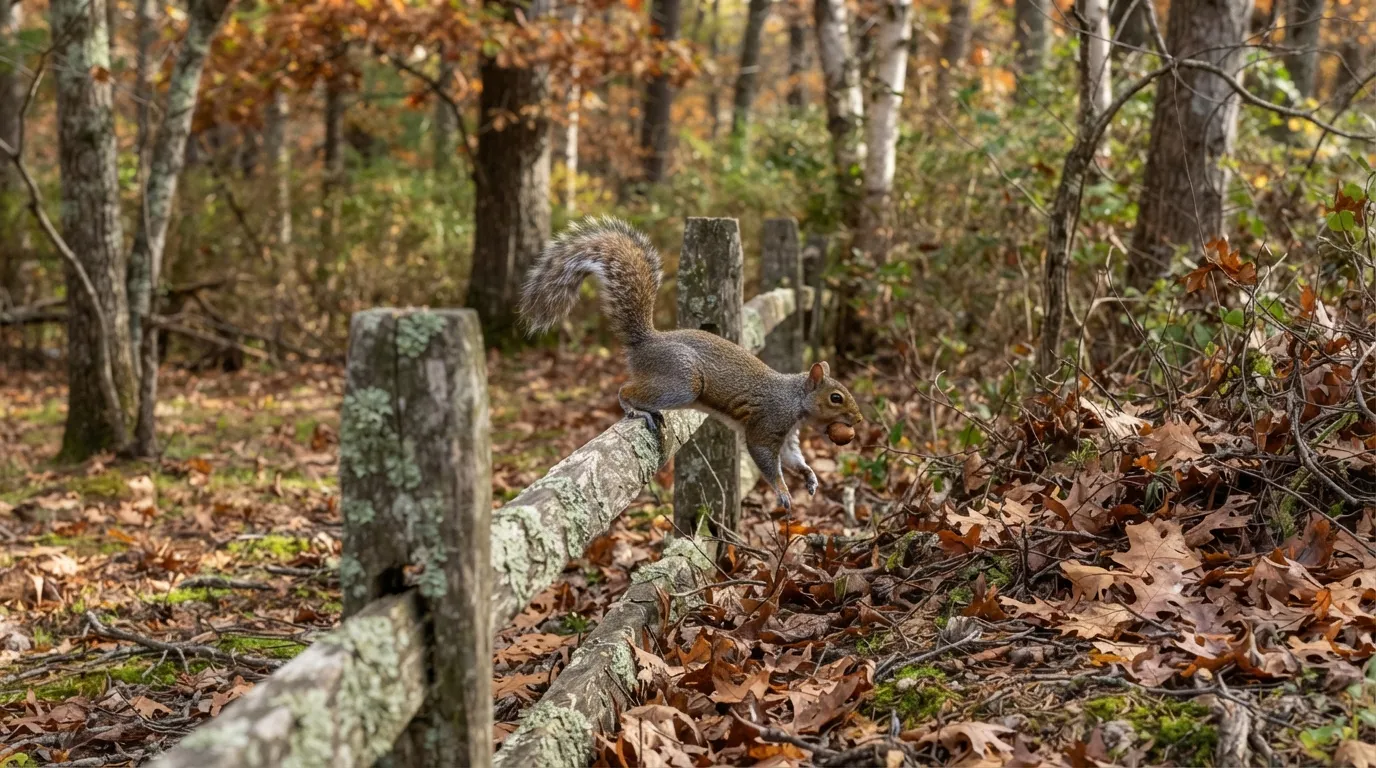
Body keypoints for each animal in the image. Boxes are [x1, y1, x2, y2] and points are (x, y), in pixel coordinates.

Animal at [519, 216, 863, 511]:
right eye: (836, 398)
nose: (859, 420)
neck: (795, 399)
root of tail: (647, 342)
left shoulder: (789, 436)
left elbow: (793, 458)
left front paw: (809, 476)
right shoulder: (767, 423)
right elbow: (764, 457)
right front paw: (782, 491)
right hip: (682, 381)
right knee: (626, 389)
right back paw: (635, 408)